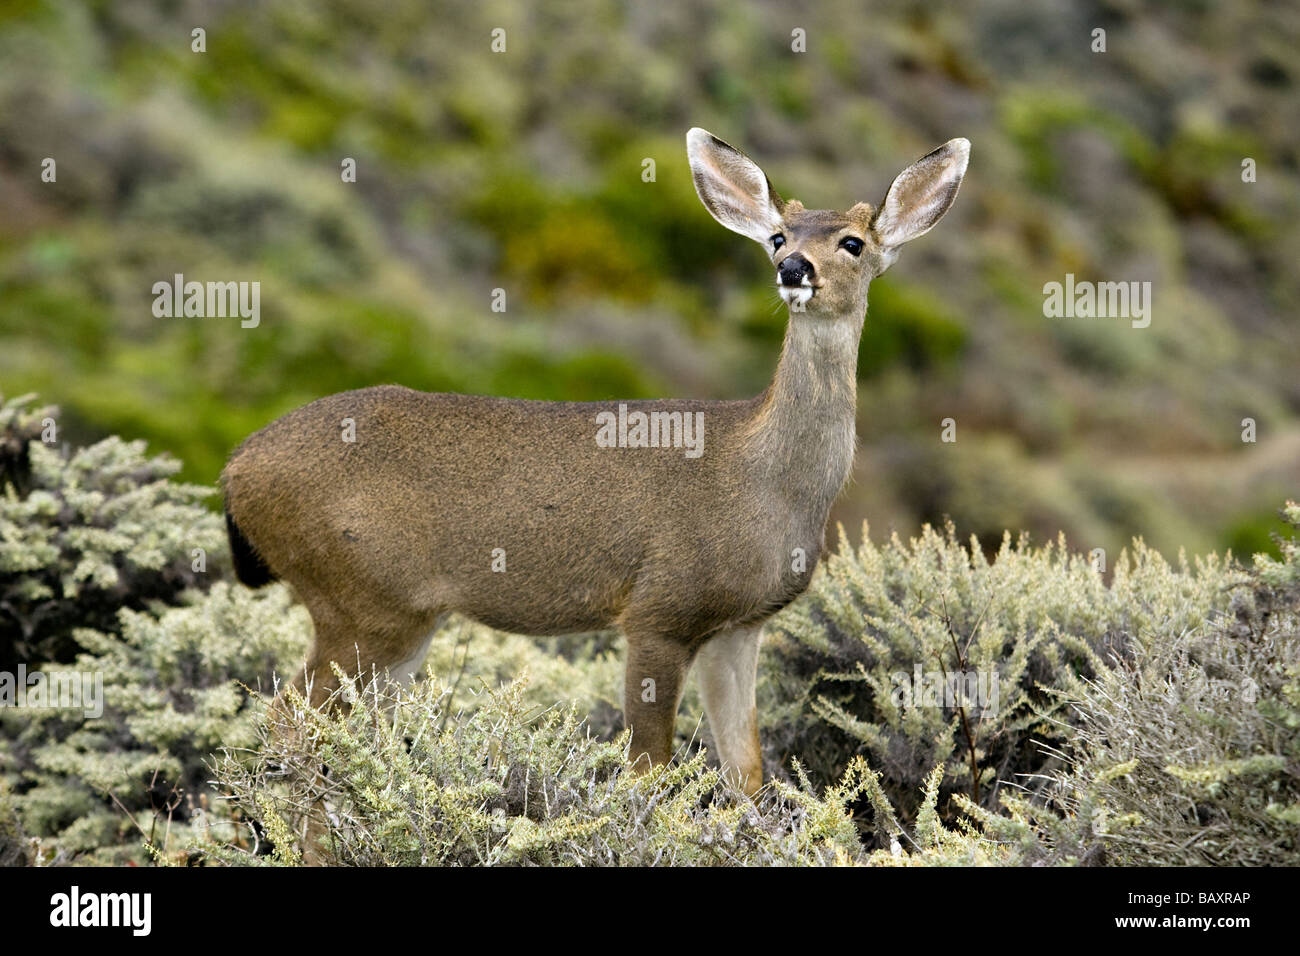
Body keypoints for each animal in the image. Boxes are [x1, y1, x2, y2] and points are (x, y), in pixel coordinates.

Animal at [221, 128, 969, 796]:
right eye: (780, 237)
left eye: (853, 242)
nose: (794, 271)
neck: (765, 481)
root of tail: (235, 469)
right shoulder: (659, 608)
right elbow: (647, 772)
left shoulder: (740, 625)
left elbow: (747, 771)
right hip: (362, 598)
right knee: (291, 723)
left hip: (398, 619)